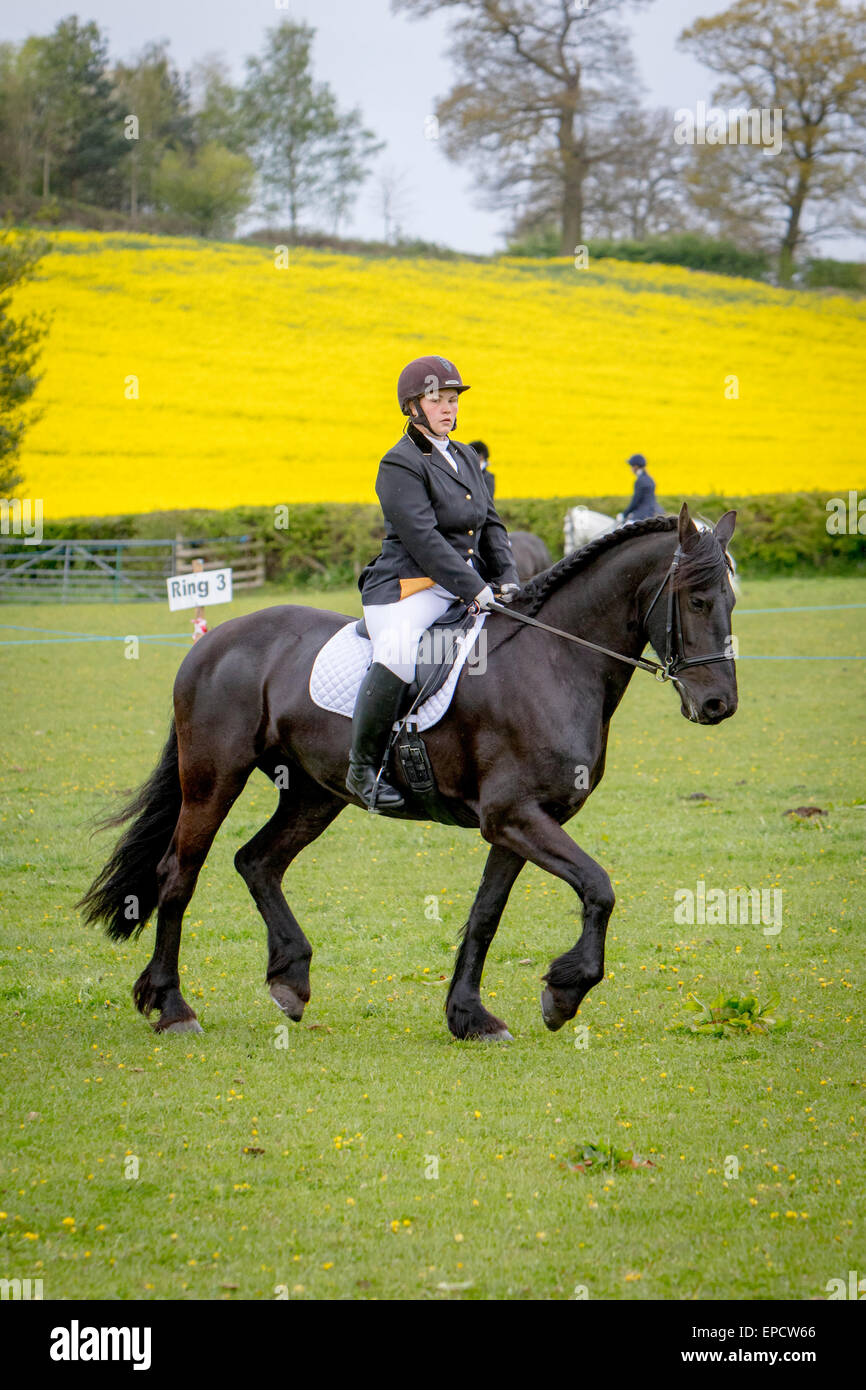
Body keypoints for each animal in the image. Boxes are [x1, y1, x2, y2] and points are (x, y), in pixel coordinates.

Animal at [78, 504, 738, 1042]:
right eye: (697, 600)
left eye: (732, 601)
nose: (718, 705)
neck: (554, 659)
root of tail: (211, 642)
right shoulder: (514, 817)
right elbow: (599, 888)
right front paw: (563, 992)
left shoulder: (520, 823)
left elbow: (486, 915)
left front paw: (471, 1017)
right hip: (214, 779)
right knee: (177, 876)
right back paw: (172, 1009)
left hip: (315, 793)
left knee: (257, 861)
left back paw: (290, 979)